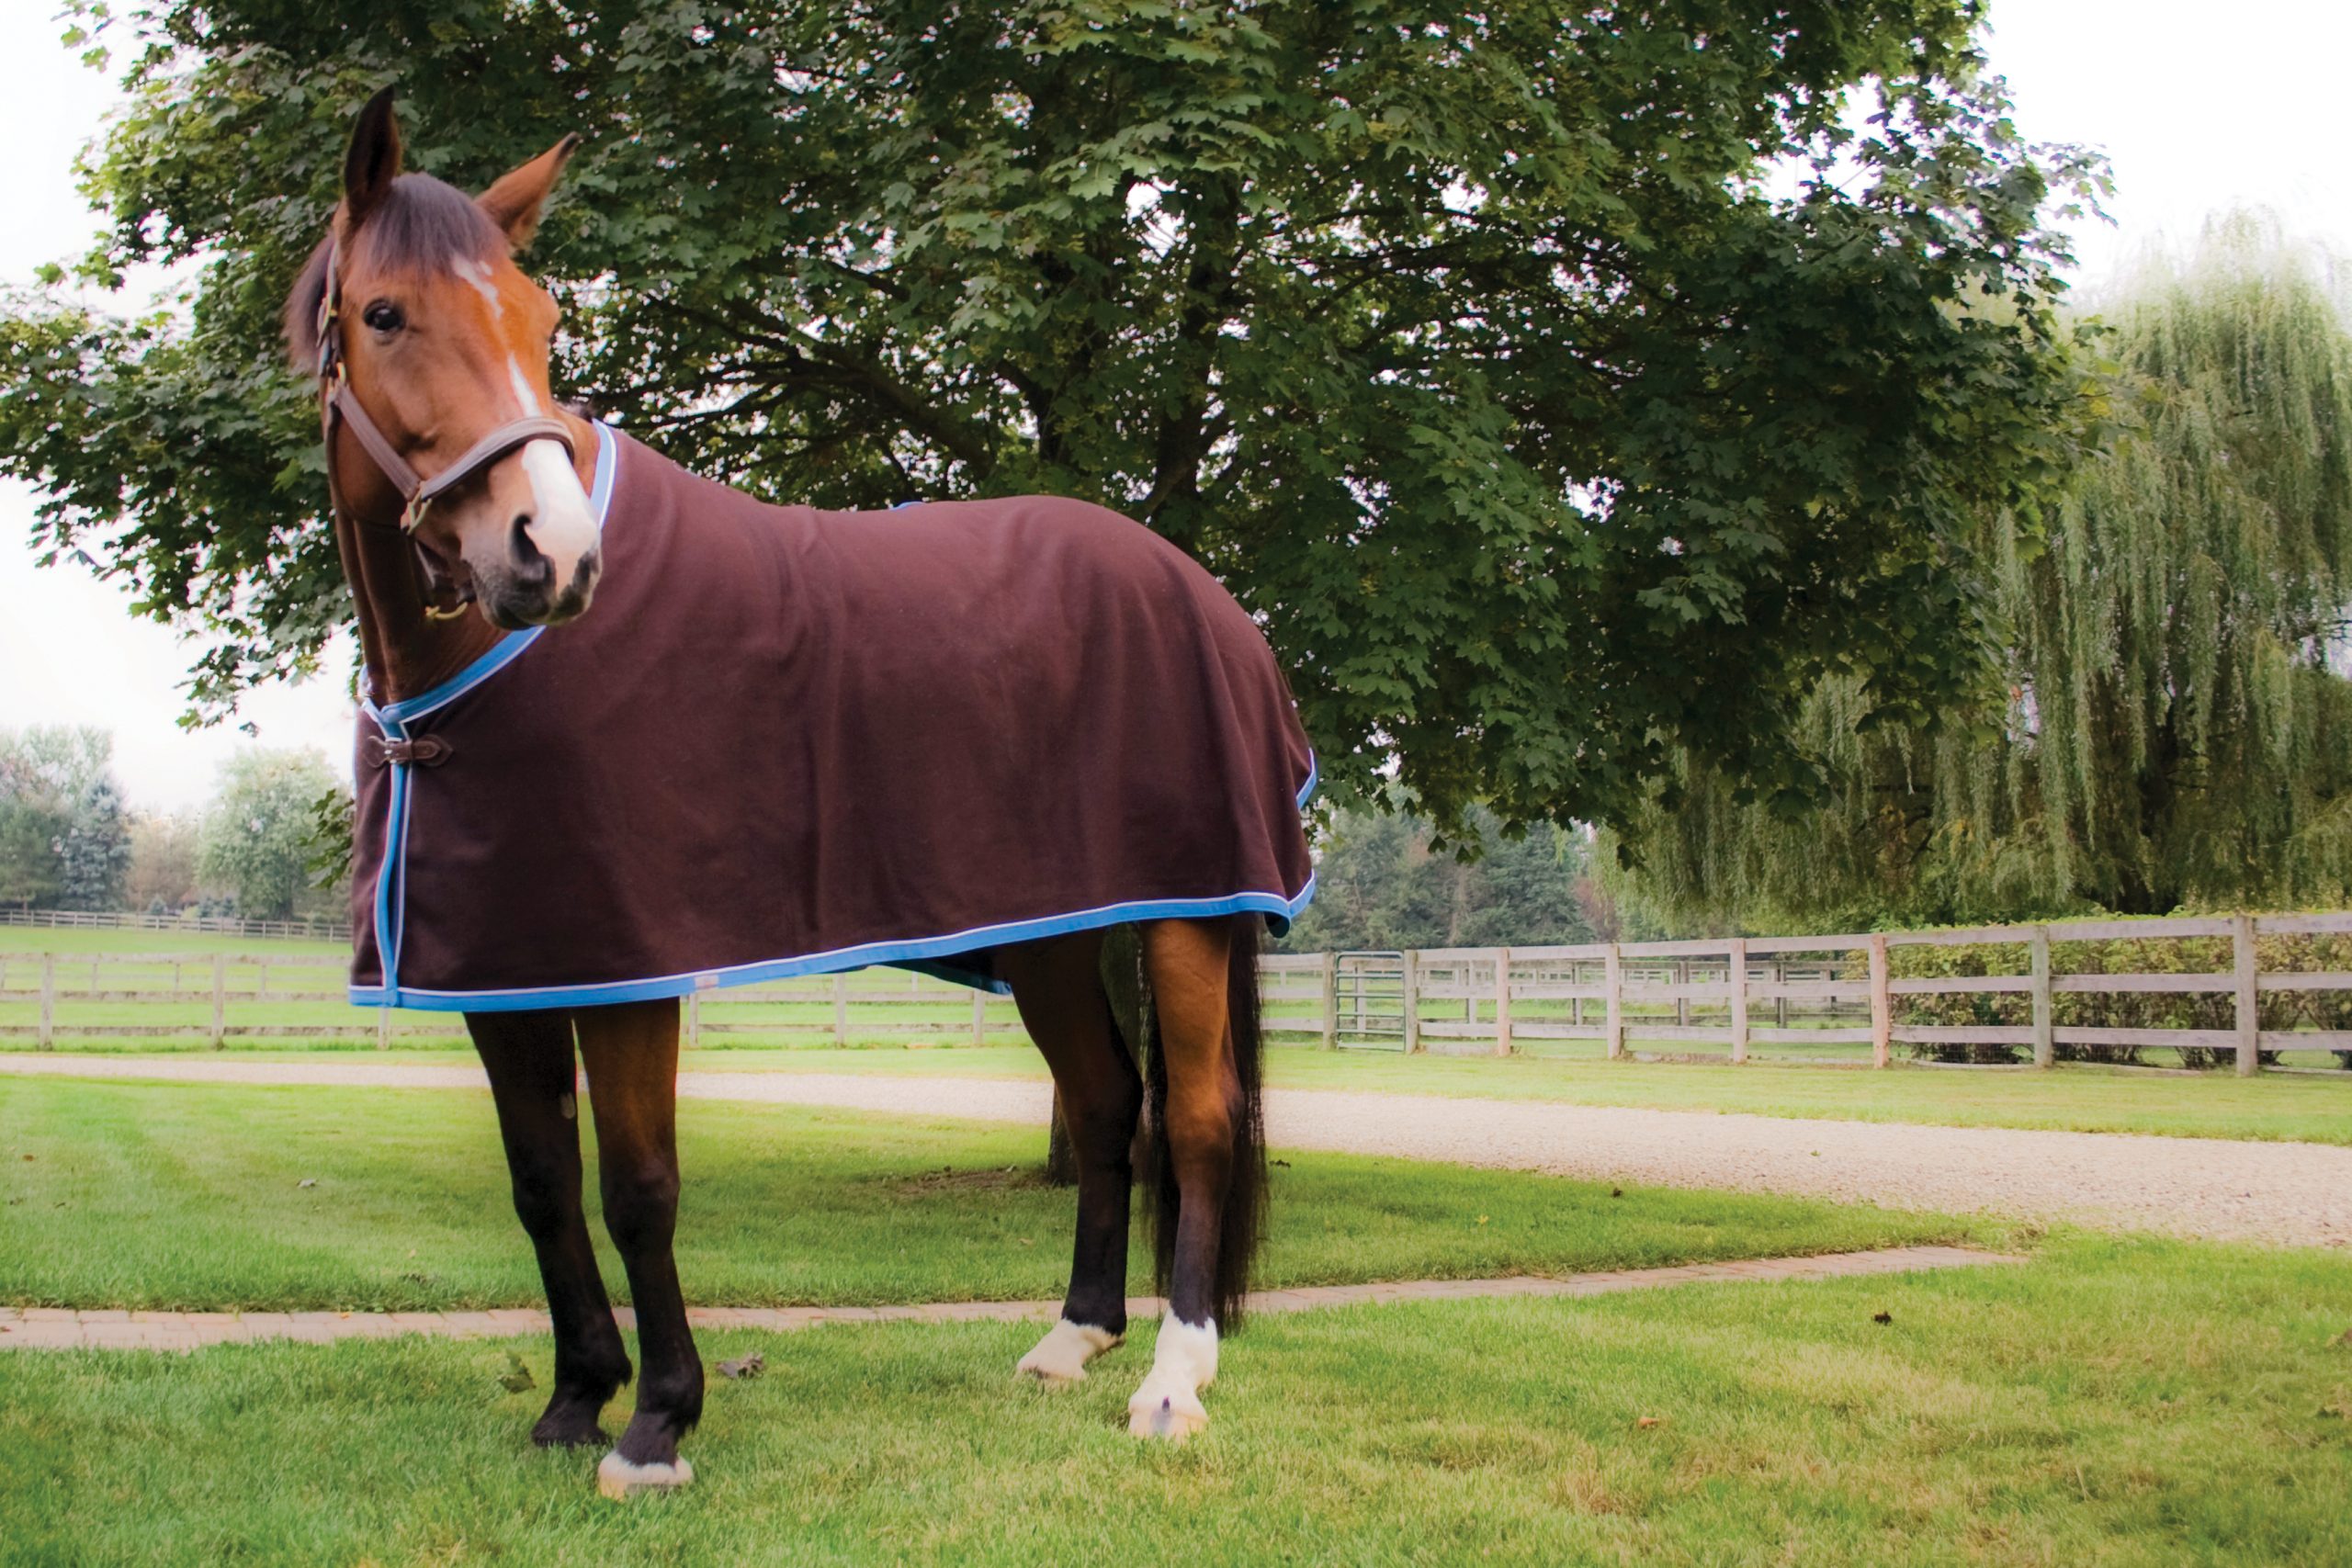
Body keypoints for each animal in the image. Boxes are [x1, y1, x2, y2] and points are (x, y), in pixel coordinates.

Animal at [284, 89, 1316, 1499]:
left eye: (542, 322)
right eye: (385, 314)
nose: (553, 556)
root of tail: (1201, 591)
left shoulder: (628, 970)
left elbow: (640, 1186)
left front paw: (656, 1426)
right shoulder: (511, 969)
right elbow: (543, 1184)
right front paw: (572, 1403)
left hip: (1190, 913)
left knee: (1199, 1120)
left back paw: (1173, 1380)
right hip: (1048, 931)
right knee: (1109, 1100)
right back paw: (1072, 1340)